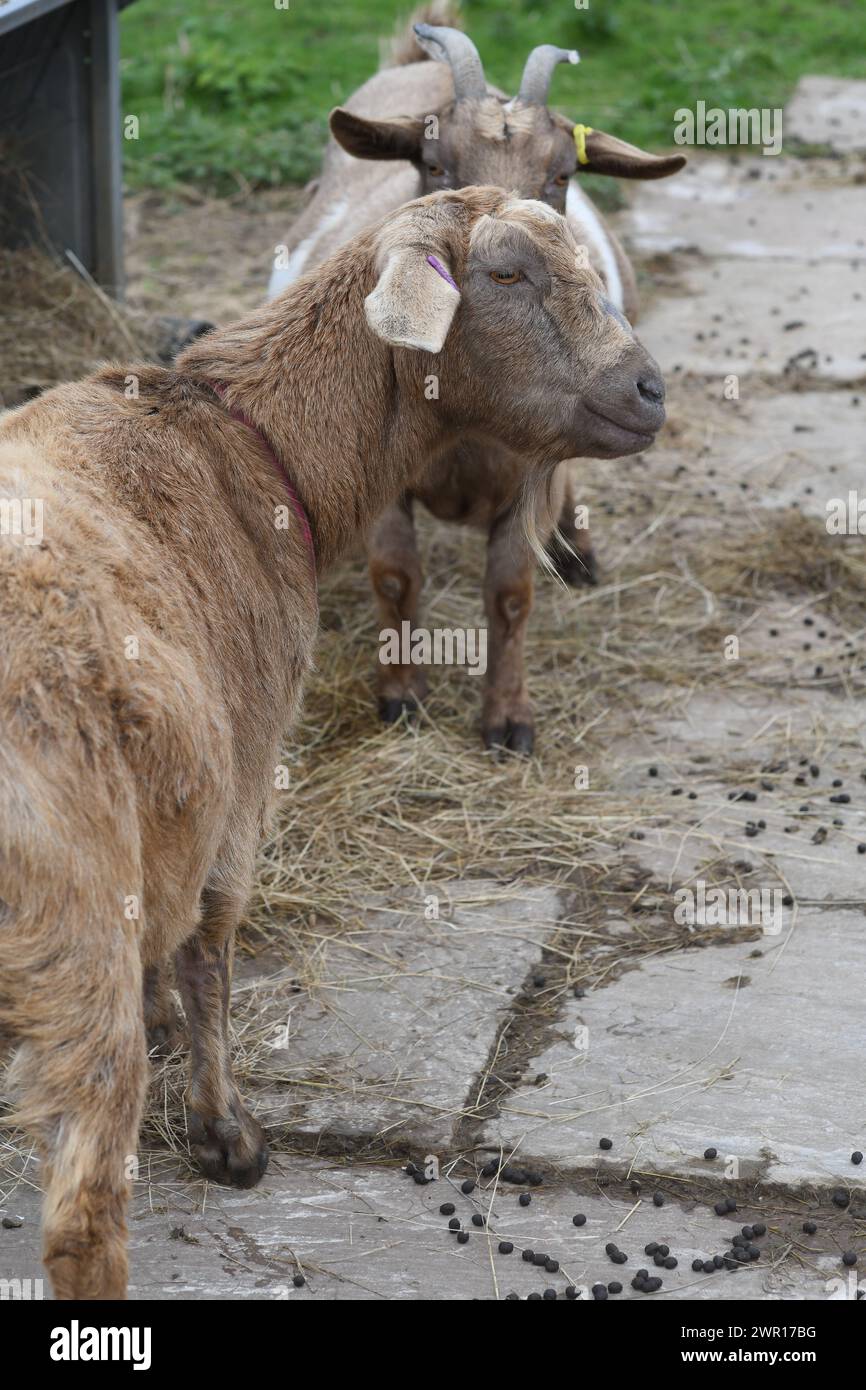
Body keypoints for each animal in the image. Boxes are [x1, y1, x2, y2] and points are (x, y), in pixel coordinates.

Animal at [0, 186, 665, 1298]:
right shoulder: (239, 772)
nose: (652, 389)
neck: (253, 446)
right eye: (506, 273)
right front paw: (227, 1138)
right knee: (83, 1212)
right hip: (71, 912)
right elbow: (211, 953)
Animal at [270, 17, 683, 751]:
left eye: (563, 174)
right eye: (434, 165)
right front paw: (401, 693)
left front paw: (508, 717)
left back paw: (577, 549)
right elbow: (396, 577)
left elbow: (511, 594)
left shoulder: (532, 478)